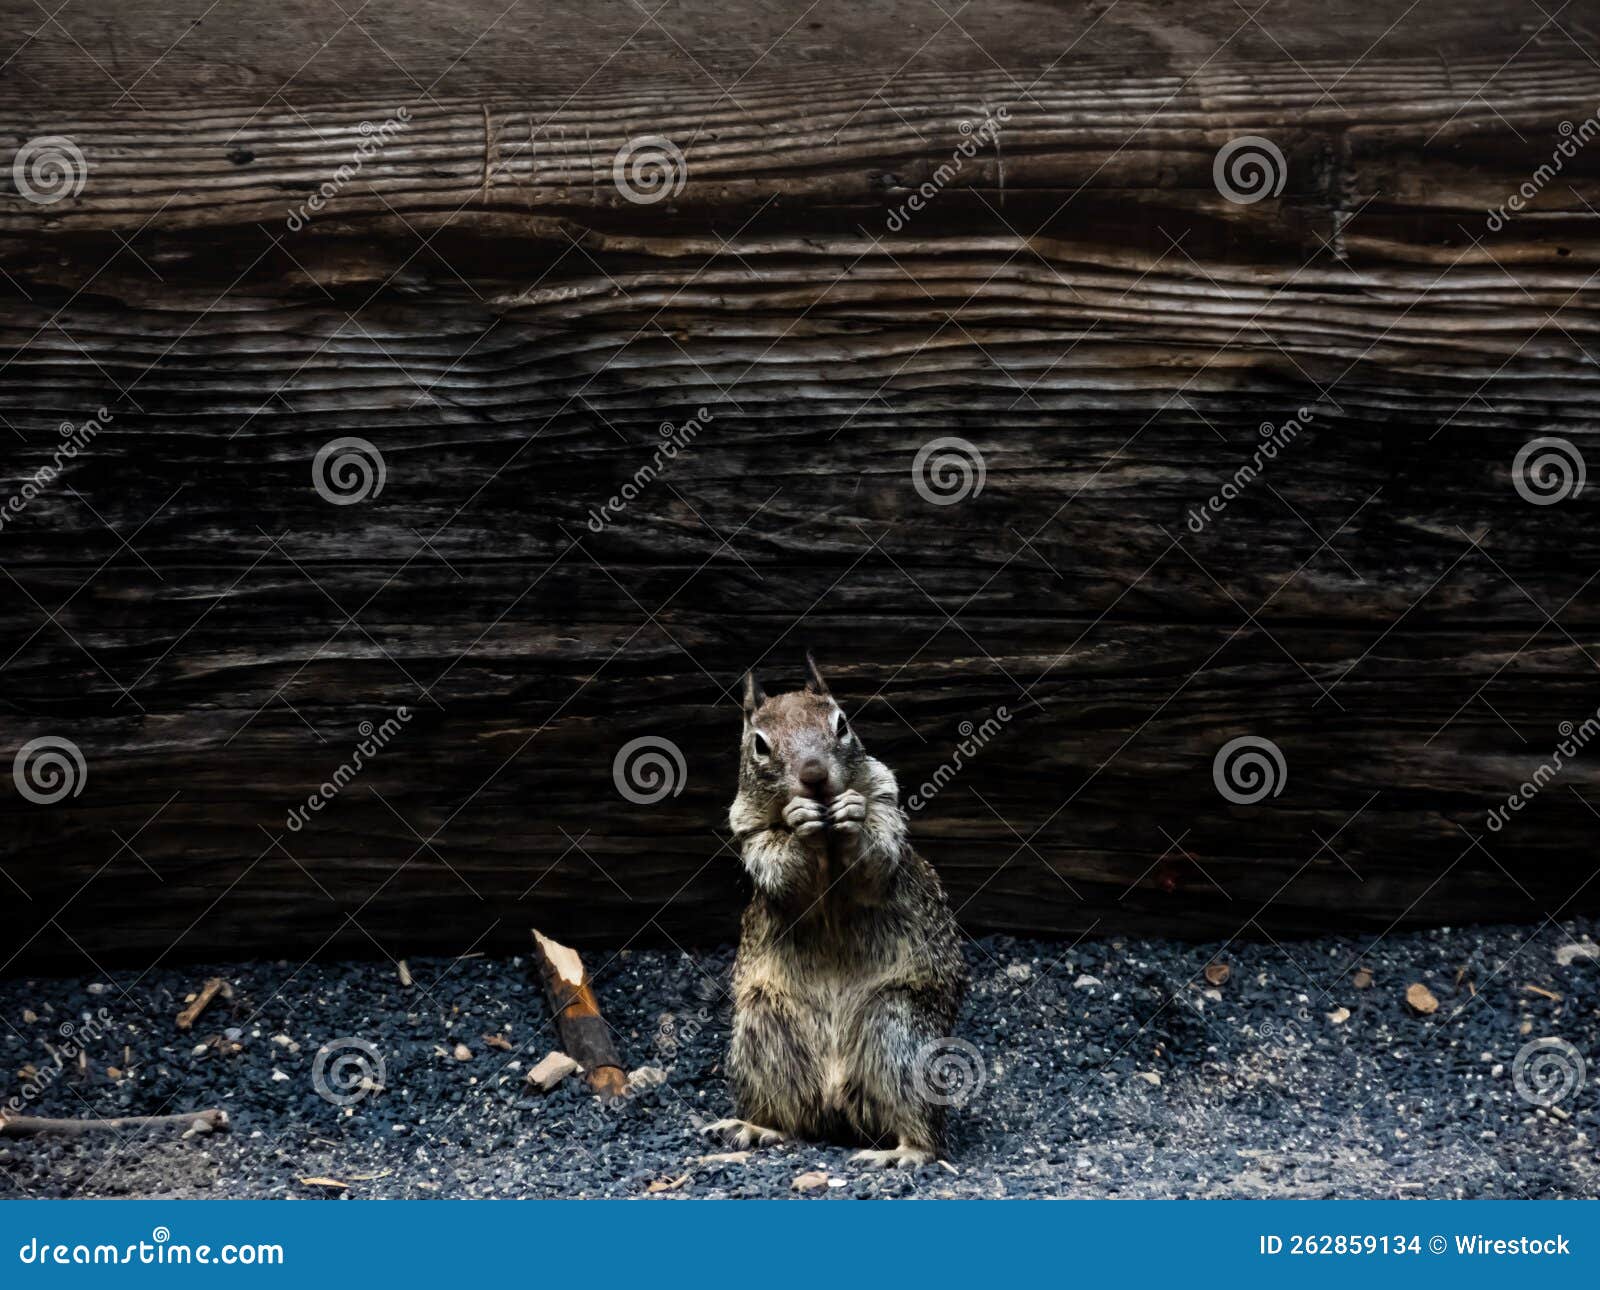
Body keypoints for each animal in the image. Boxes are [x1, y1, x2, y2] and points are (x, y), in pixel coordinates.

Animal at [703, 654, 969, 1168]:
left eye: (842, 723)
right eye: (760, 744)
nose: (813, 774)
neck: (826, 844)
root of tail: (835, 1100)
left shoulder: (885, 806)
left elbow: (876, 857)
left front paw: (850, 814)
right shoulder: (751, 834)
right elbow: (783, 870)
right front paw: (798, 823)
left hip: (897, 1031)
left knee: (921, 1124)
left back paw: (903, 1153)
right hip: (764, 1031)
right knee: (794, 1120)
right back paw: (755, 1127)